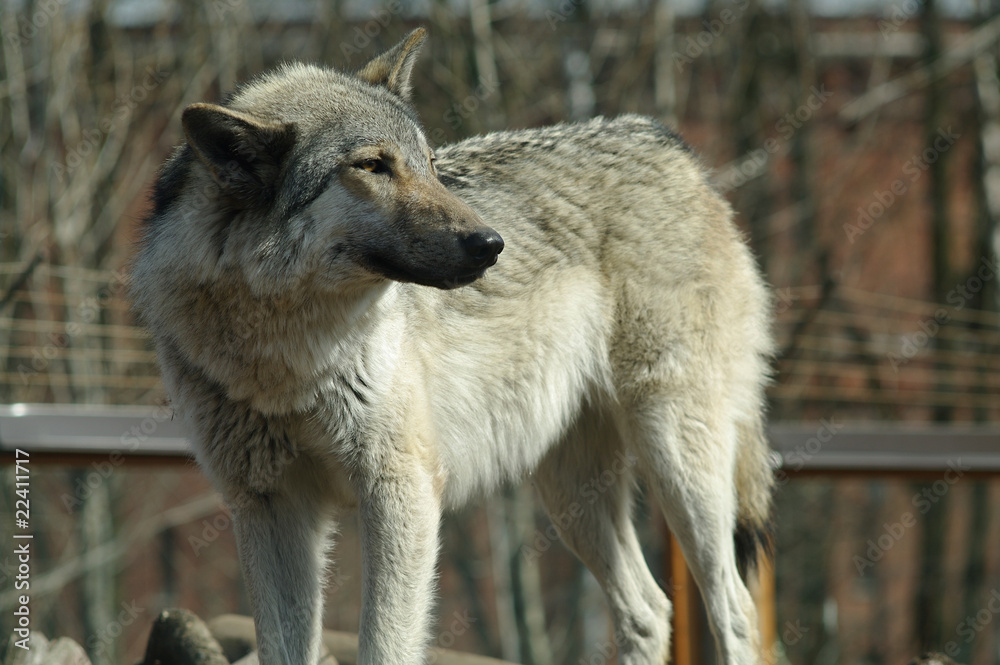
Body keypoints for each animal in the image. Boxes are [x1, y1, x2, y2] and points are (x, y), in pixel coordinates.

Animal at [129, 27, 774, 665]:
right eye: (373, 165)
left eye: (432, 165)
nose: (491, 244)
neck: (286, 360)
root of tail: (666, 141)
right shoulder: (268, 508)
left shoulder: (401, 492)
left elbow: (385, 647)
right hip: (573, 492)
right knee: (648, 608)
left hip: (676, 458)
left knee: (735, 609)